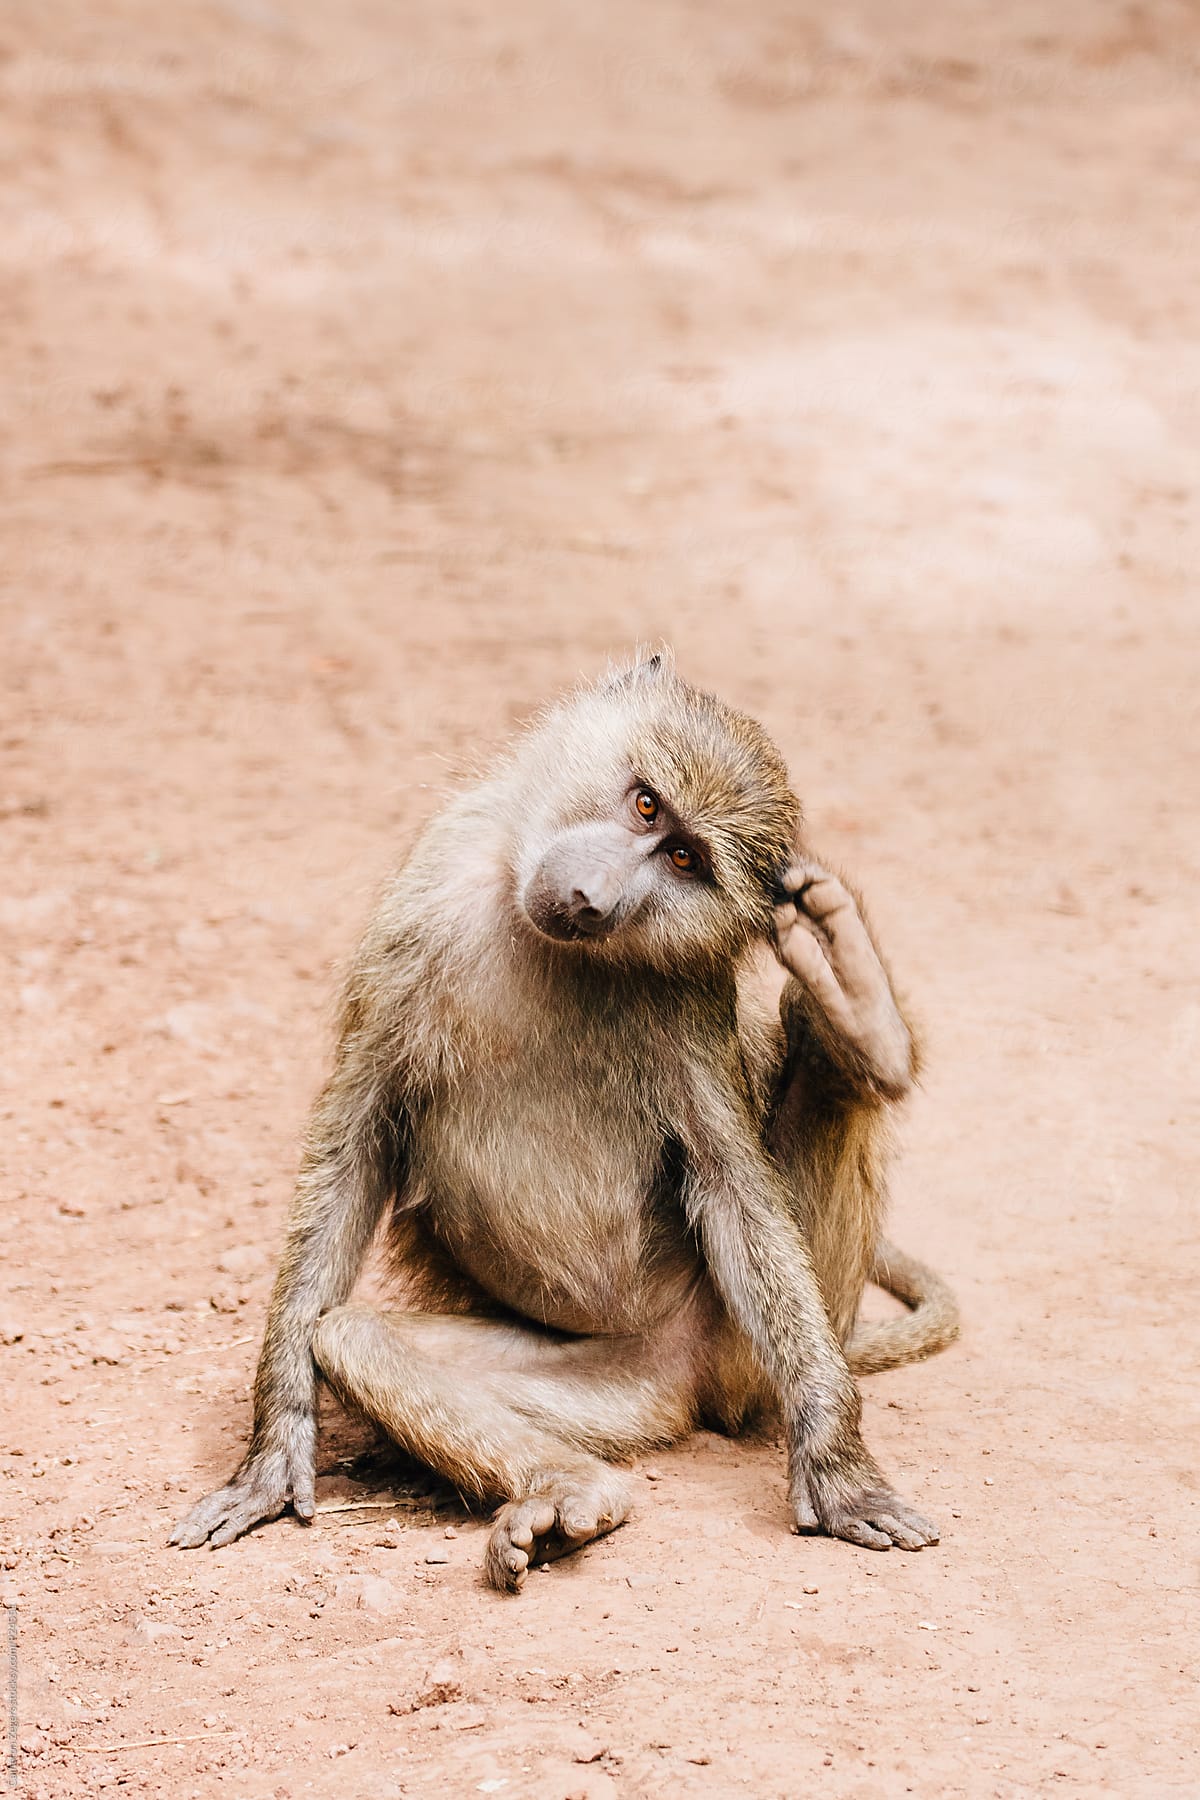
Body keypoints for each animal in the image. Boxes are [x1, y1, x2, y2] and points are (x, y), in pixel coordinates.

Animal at [170, 653, 959, 1591]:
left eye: (685, 860)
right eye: (647, 804)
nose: (589, 898)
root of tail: (694, 1385)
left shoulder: (689, 996)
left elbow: (730, 1183)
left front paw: (837, 1464)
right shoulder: (421, 905)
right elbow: (356, 1138)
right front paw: (275, 1443)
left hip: (748, 1336)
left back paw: (858, 1018)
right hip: (624, 1386)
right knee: (359, 1336)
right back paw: (571, 1491)